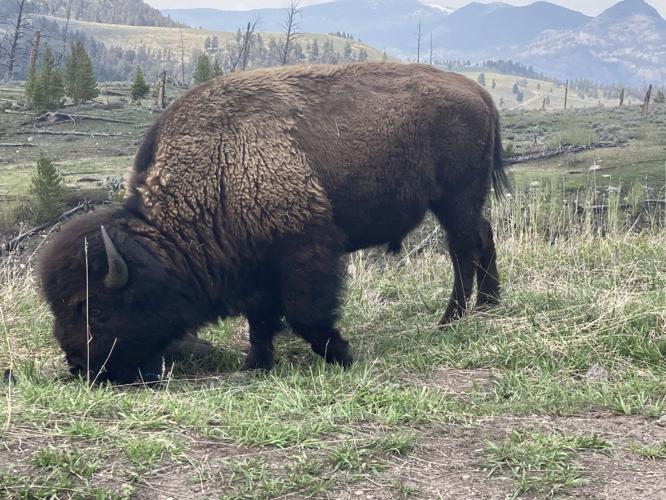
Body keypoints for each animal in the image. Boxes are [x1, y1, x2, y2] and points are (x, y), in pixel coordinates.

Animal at [39, 62, 509, 383]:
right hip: (460, 202)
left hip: (455, 198)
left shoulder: (305, 252)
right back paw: (487, 307)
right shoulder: (254, 265)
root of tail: (480, 92)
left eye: (92, 307)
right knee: (481, 239)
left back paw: (451, 319)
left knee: (463, 248)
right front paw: (256, 364)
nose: (79, 365)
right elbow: (260, 320)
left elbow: (304, 314)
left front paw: (341, 354)